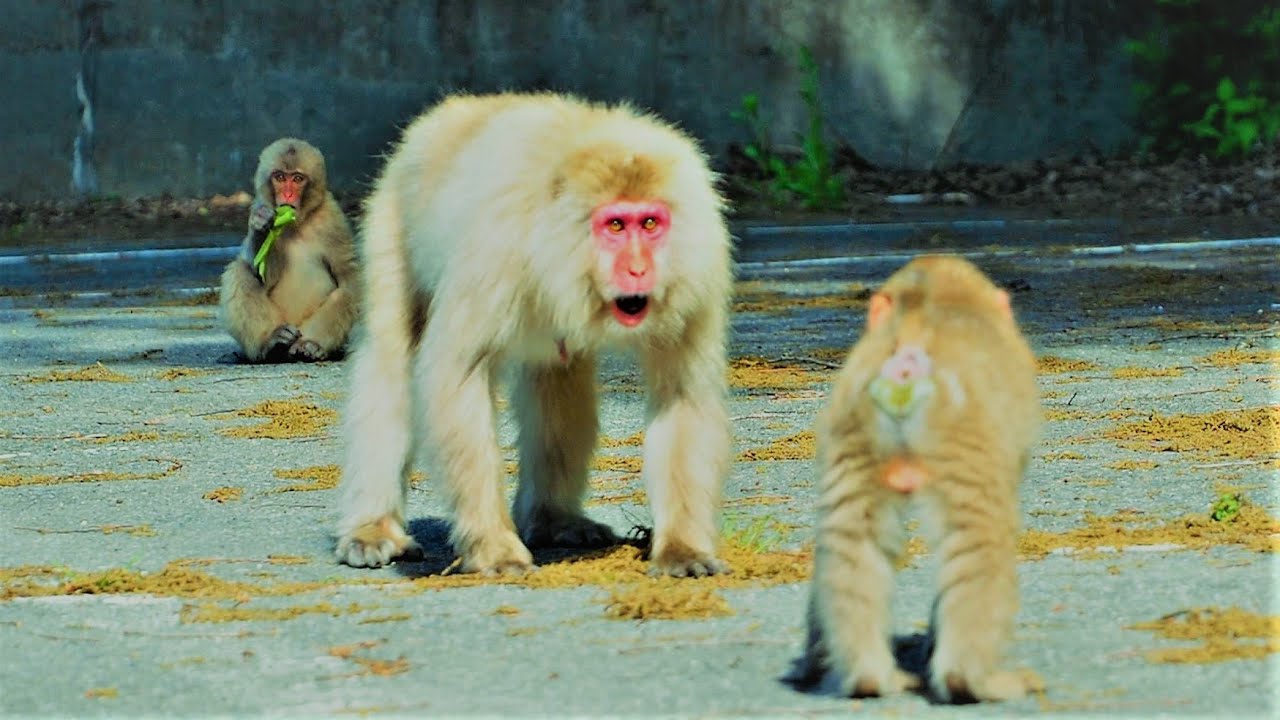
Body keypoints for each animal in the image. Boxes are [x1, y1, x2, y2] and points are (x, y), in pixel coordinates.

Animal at [218, 138, 358, 362]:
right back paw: (271, 343)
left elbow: (348, 281)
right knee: (239, 270)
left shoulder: (334, 221)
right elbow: (261, 273)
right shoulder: (260, 204)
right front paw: (261, 225)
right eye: (280, 177)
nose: (288, 194)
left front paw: (312, 345)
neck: (296, 223)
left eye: (298, 179)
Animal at [334, 93, 734, 579]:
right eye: (616, 226)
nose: (640, 269)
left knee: (557, 376)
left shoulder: (696, 272)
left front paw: (681, 549)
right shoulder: (493, 248)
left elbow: (681, 394)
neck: (559, 248)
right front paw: (493, 547)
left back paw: (553, 520)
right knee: (391, 360)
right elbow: (457, 376)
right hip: (390, 220)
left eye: (651, 224)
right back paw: (372, 528)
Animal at [792, 255, 1041, 703]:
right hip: (961, 431)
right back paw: (973, 681)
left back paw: (870, 678)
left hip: (855, 426)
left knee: (850, 536)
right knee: (977, 536)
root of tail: (910, 345)